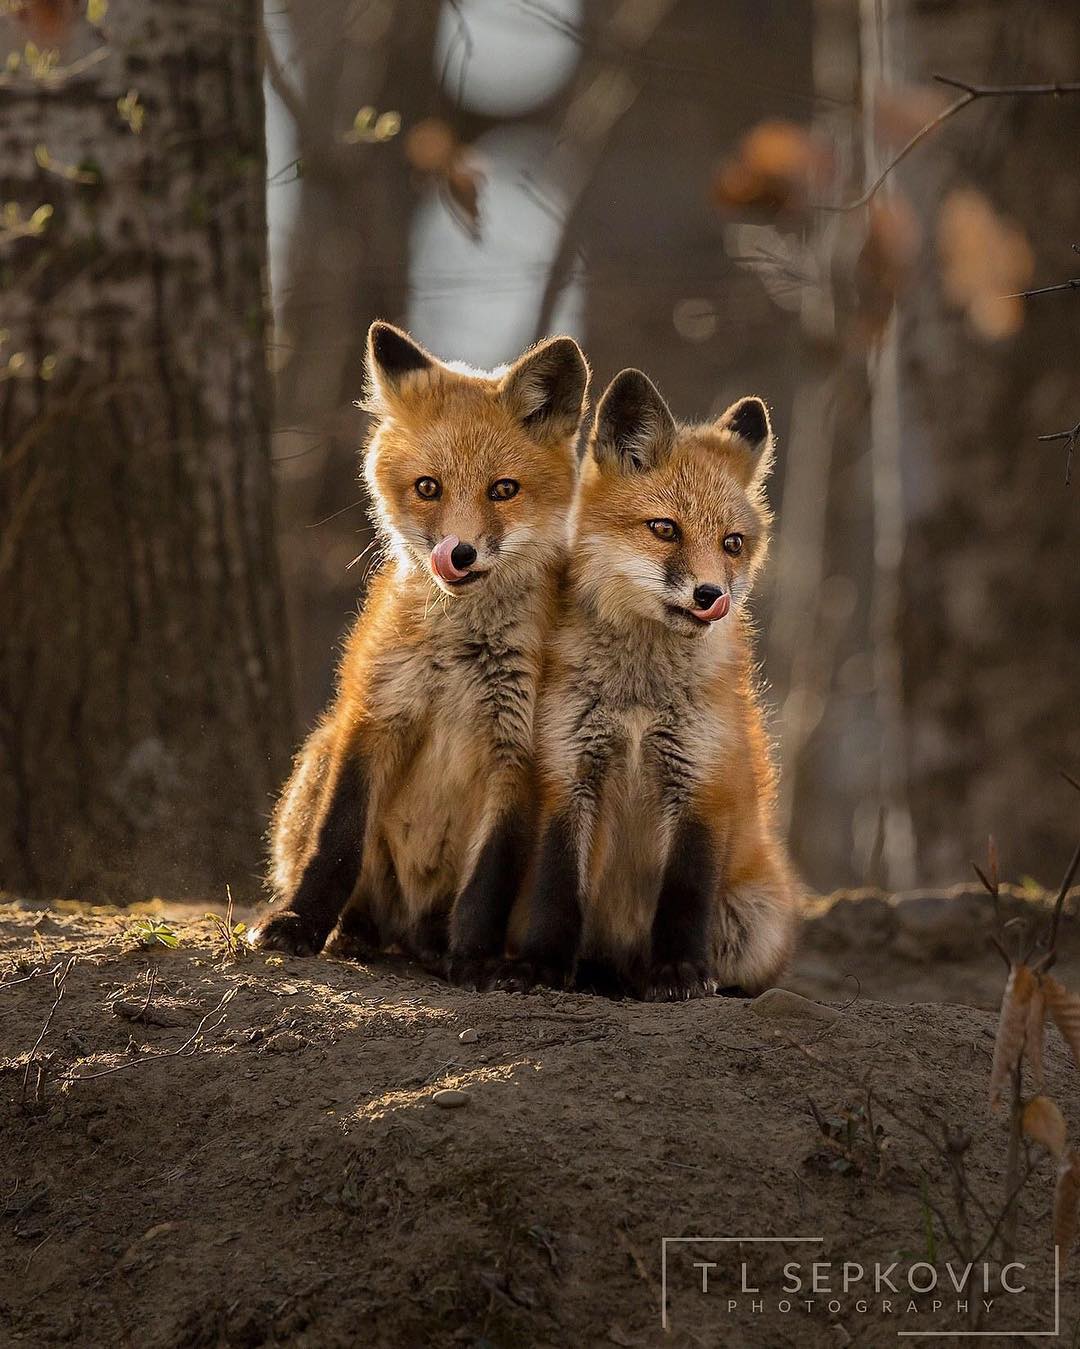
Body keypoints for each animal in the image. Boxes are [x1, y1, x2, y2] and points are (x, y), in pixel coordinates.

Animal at [252, 321, 590, 983]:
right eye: (427, 488)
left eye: (503, 490)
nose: (457, 554)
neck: (458, 655)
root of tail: (405, 926)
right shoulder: (375, 715)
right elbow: (337, 843)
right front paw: (299, 923)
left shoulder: (518, 753)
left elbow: (488, 881)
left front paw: (474, 959)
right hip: (320, 753)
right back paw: (352, 933)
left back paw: (438, 947)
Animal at [506, 368, 799, 1000]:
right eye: (665, 529)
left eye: (732, 543)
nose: (711, 596)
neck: (639, 700)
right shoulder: (568, 771)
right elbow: (557, 888)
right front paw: (542, 966)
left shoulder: (701, 784)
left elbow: (684, 896)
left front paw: (680, 972)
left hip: (755, 924)